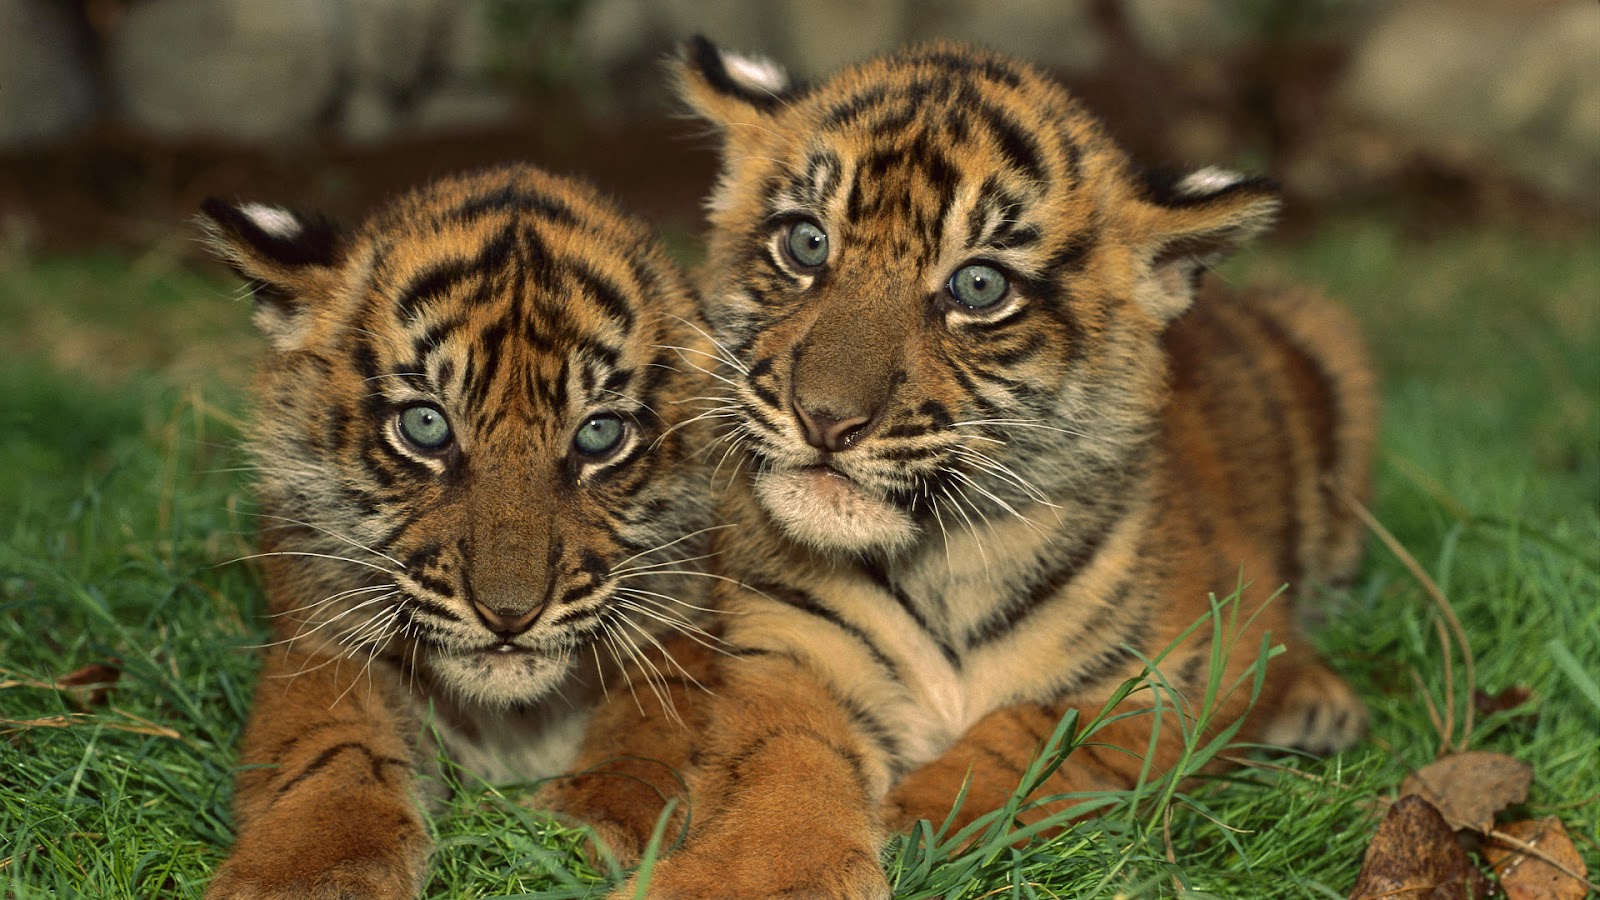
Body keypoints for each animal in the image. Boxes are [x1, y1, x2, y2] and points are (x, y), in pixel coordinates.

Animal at [197, 164, 724, 899]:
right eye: (426, 426)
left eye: (599, 434)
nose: (509, 616)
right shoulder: (318, 644)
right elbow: (333, 751)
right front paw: (305, 875)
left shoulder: (693, 630)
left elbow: (652, 728)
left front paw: (589, 827)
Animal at [608, 39, 1378, 897]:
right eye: (806, 243)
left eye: (979, 285)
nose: (826, 419)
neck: (941, 562)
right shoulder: (788, 648)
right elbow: (781, 765)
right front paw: (753, 875)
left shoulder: (1190, 656)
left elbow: (1040, 730)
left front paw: (918, 819)